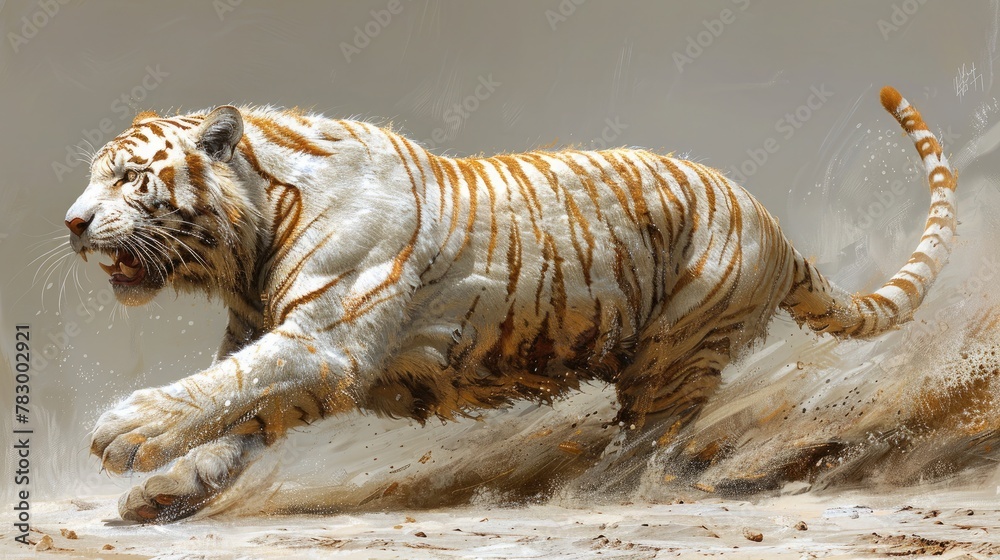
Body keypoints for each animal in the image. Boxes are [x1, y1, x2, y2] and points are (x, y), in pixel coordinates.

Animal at [64, 86, 955, 523]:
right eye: (95, 177)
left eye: (127, 178)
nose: (72, 223)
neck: (251, 239)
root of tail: (775, 228)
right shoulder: (281, 344)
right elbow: (233, 414)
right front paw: (163, 493)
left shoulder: (324, 342)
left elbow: (221, 388)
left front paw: (123, 431)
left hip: (676, 347)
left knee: (653, 439)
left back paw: (584, 491)